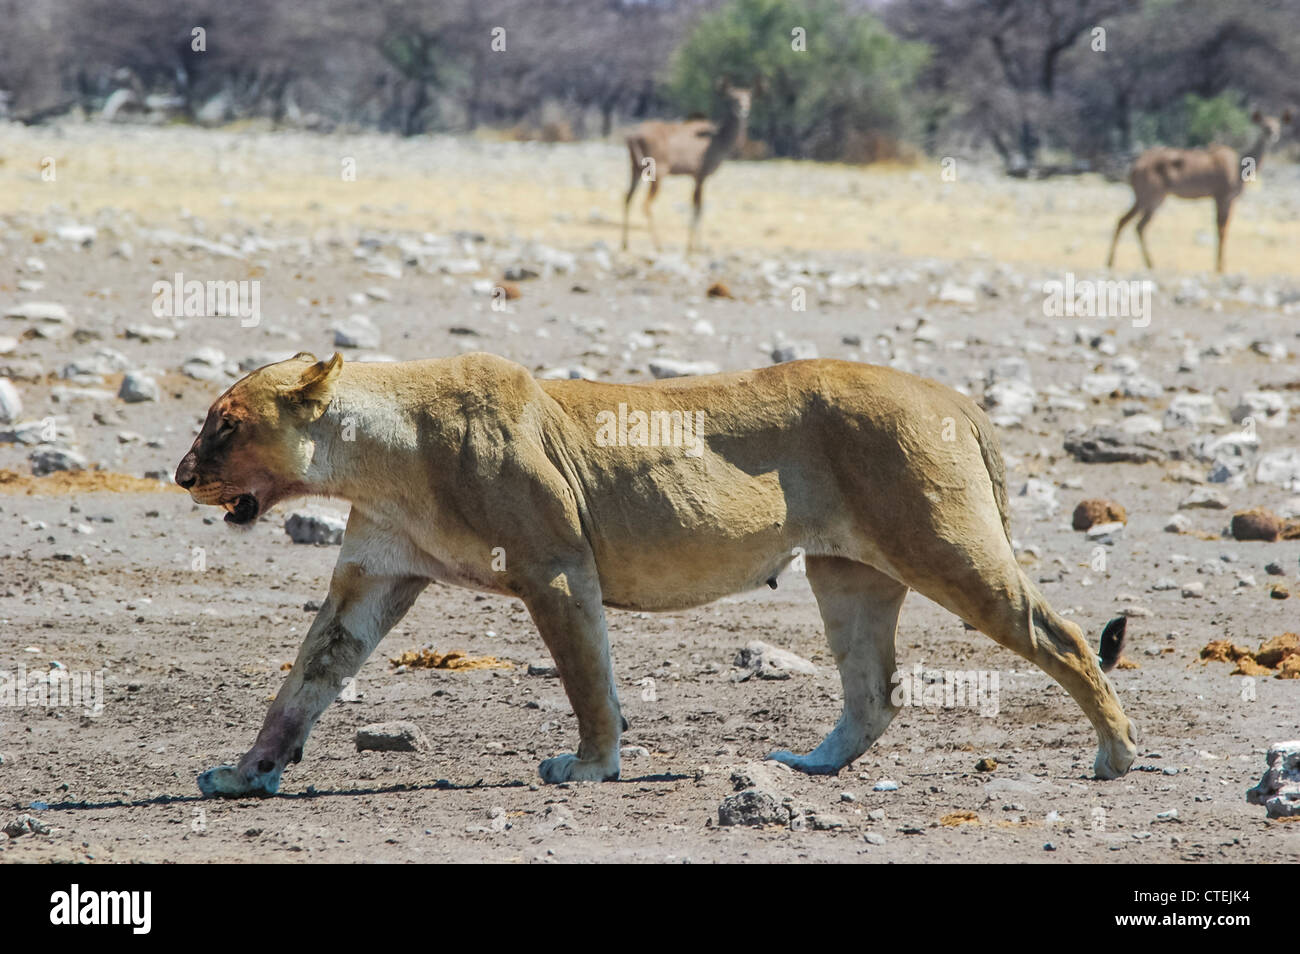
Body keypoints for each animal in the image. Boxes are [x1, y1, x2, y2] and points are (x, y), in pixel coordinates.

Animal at [175, 351, 1136, 797]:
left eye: (226, 426)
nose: (182, 476)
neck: (375, 457)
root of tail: (953, 397)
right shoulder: (372, 577)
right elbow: (306, 679)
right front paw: (246, 773)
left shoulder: (557, 568)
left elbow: (586, 677)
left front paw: (591, 766)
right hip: (846, 573)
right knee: (873, 693)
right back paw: (807, 766)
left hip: (947, 547)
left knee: (1065, 637)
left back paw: (1116, 754)